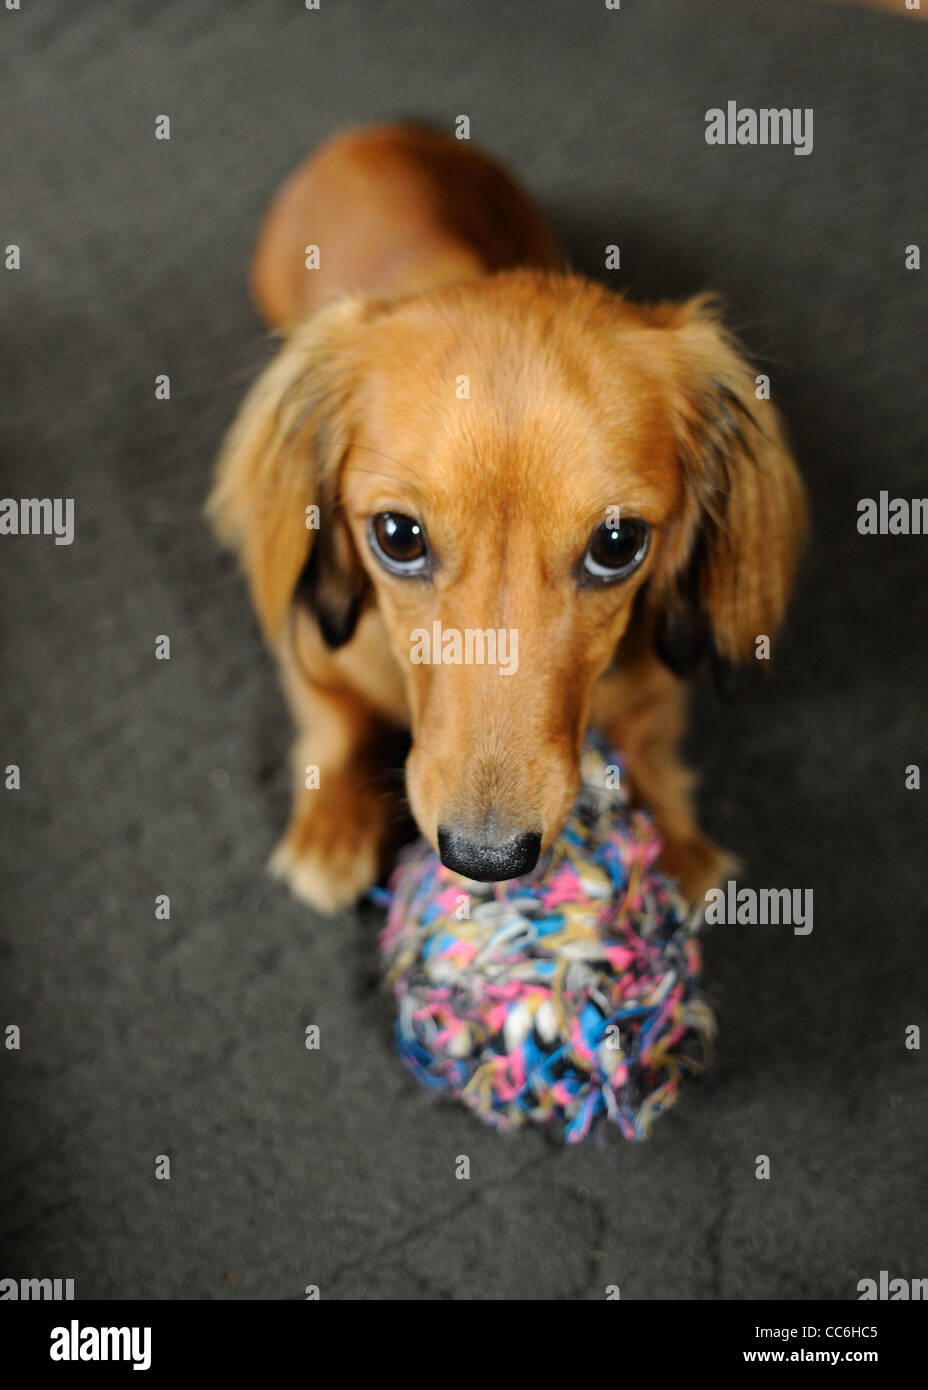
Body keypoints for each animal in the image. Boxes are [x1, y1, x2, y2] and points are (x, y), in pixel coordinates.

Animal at [209, 119, 805, 911]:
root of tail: (386, 130)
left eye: (618, 543)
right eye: (397, 536)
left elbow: (649, 736)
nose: (487, 858)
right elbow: (335, 722)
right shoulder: (319, 649)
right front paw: (332, 825)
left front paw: (673, 845)